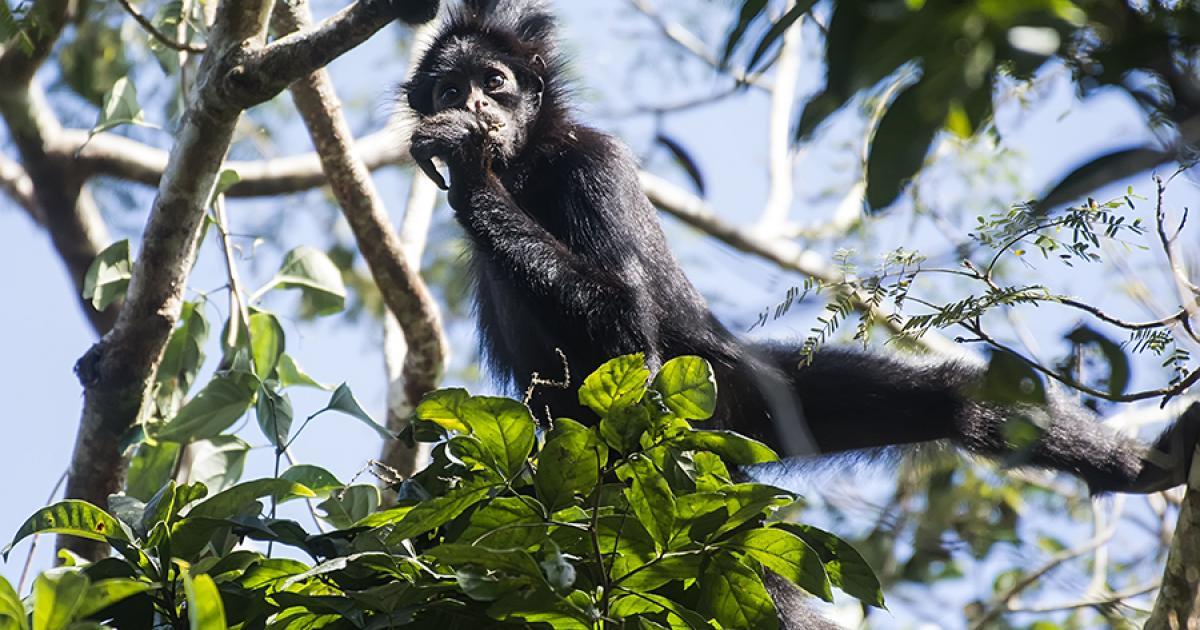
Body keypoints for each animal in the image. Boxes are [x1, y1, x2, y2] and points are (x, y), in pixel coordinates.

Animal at [402, 1, 1200, 626]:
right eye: (449, 86)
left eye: (494, 84)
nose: (472, 108)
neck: (526, 166)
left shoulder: (592, 164)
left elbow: (627, 330)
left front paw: (468, 171)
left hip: (711, 415)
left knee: (951, 406)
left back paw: (1146, 469)